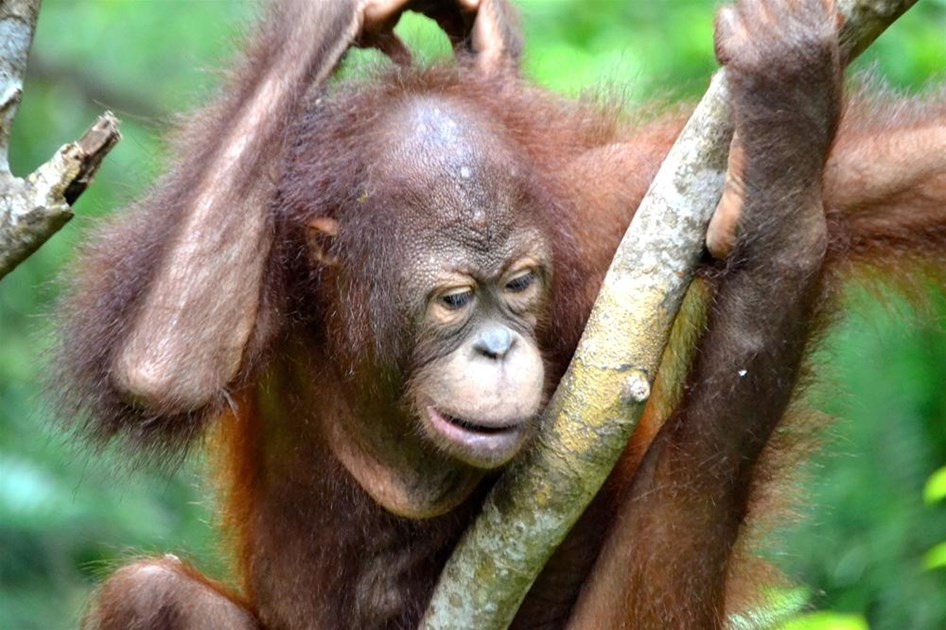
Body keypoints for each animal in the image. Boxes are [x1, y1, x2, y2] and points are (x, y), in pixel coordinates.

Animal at [53, 0, 946, 627]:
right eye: (454, 299)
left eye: (518, 285)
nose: (495, 348)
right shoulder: (281, 267)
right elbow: (162, 363)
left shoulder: (610, 208)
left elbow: (895, 174)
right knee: (147, 594)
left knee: (712, 439)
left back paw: (790, 169)